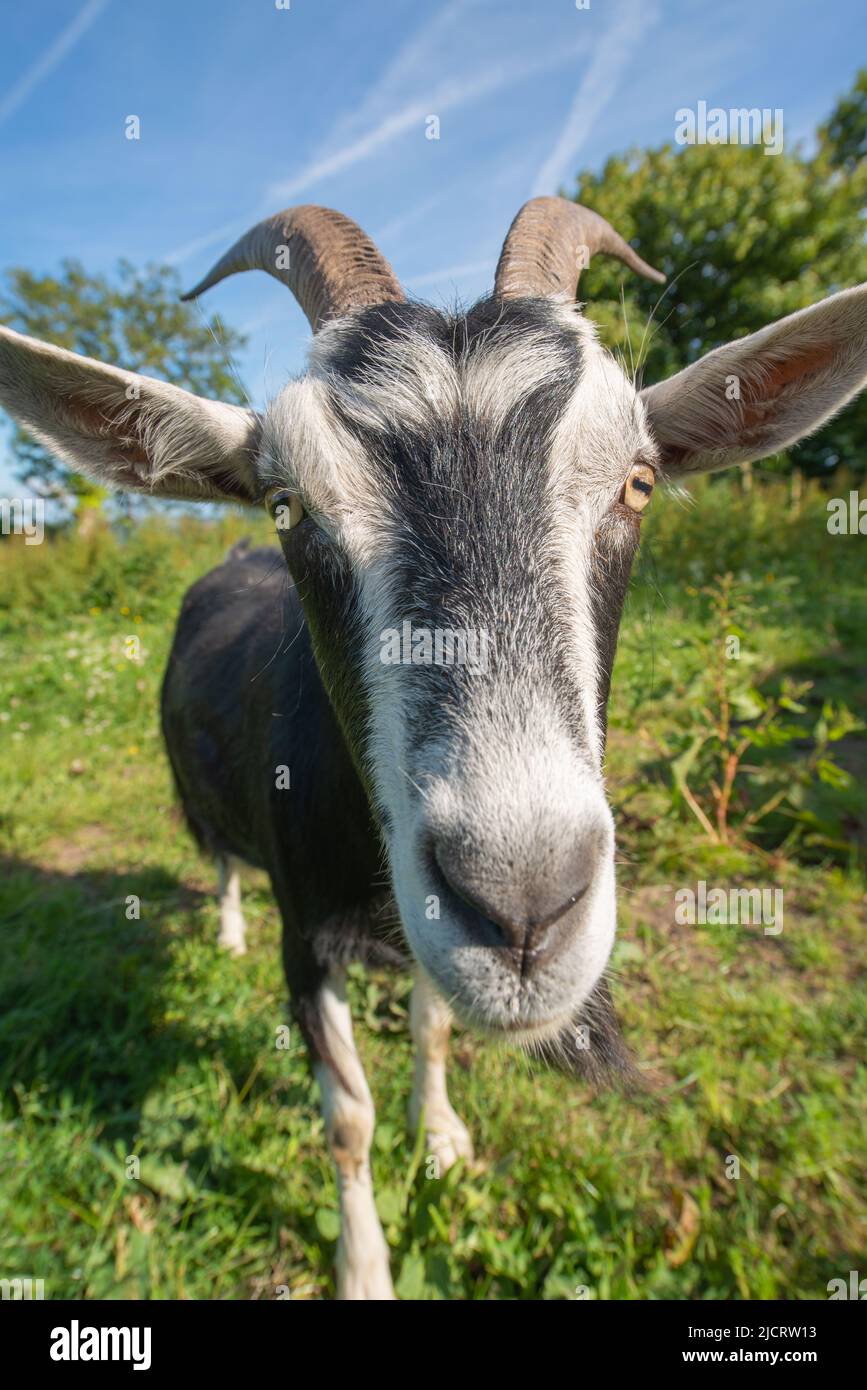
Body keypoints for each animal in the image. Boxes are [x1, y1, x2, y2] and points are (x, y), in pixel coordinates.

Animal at [1, 199, 866, 1299]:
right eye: (286, 504)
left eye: (638, 484)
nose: (524, 909)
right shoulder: (305, 938)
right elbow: (345, 1117)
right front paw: (365, 1266)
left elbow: (433, 1024)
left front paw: (446, 1139)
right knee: (219, 854)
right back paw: (225, 928)